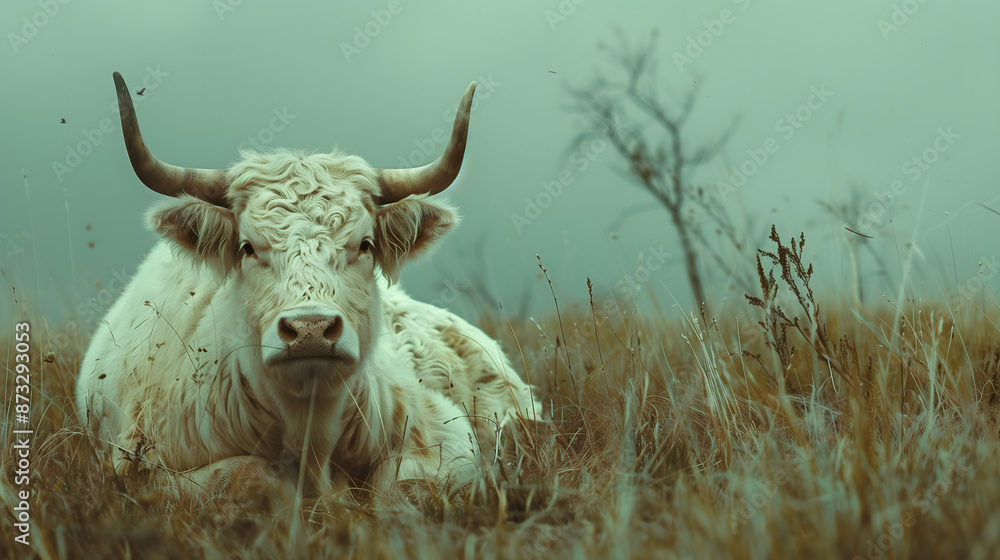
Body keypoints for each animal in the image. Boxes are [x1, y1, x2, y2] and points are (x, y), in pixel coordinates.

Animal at [76, 72, 539, 498]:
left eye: (365, 244)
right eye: (247, 247)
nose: (311, 329)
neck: (308, 422)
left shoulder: (449, 437)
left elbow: (399, 485)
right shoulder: (136, 469)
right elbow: (251, 475)